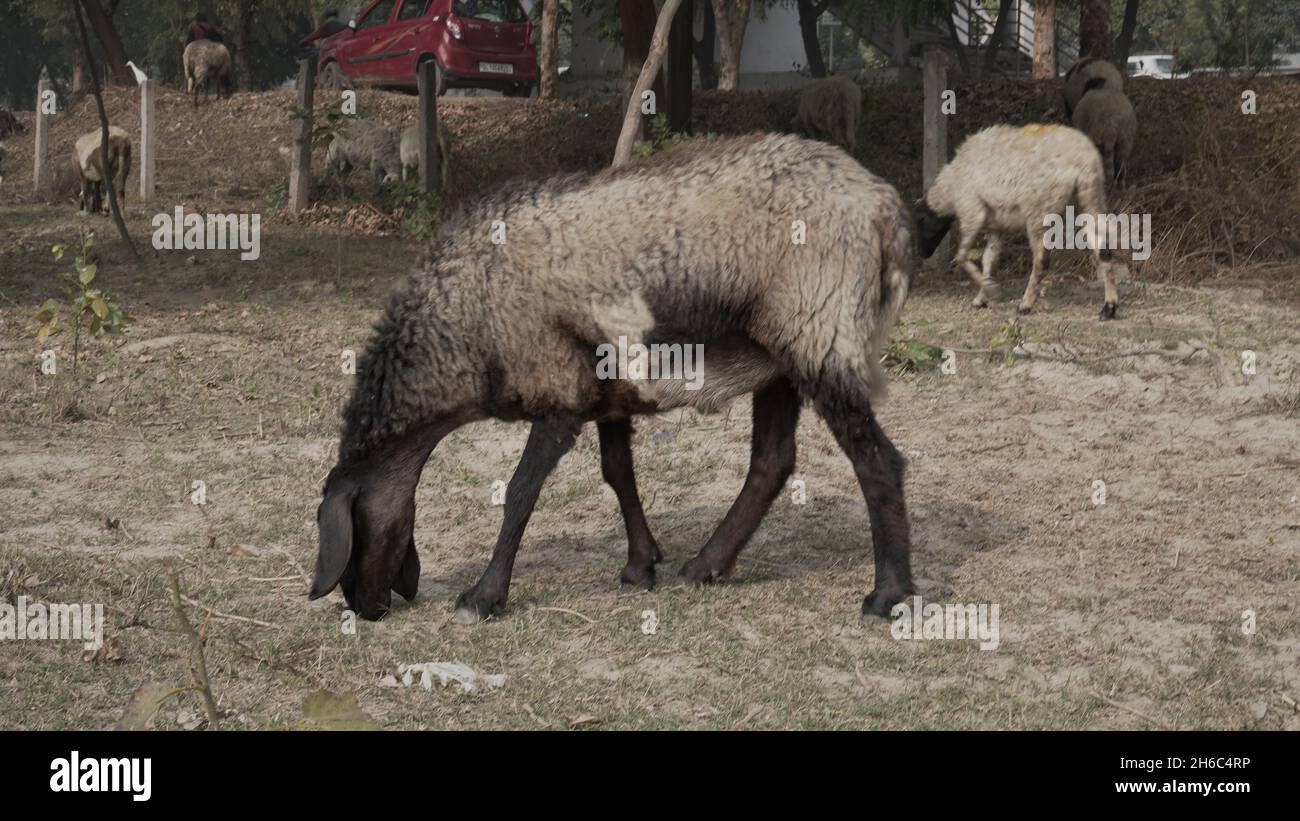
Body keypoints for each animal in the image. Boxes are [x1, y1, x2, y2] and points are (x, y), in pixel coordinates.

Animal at [307, 132, 919, 625]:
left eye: (351, 530)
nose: (365, 608)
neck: (468, 315)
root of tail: (883, 207)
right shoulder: (605, 393)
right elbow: (618, 473)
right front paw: (640, 566)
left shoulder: (557, 390)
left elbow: (521, 492)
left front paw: (482, 598)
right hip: (781, 356)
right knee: (771, 462)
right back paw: (705, 565)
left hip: (822, 332)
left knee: (877, 461)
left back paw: (887, 595)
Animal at [914, 124, 1126, 320]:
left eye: (920, 223)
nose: (922, 254)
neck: (950, 189)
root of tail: (1083, 159)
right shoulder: (996, 226)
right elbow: (988, 259)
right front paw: (982, 297)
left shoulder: (972, 211)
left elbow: (961, 256)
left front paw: (991, 291)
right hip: (1089, 198)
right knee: (1103, 250)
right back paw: (1109, 308)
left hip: (1039, 210)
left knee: (1041, 260)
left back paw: (1025, 305)